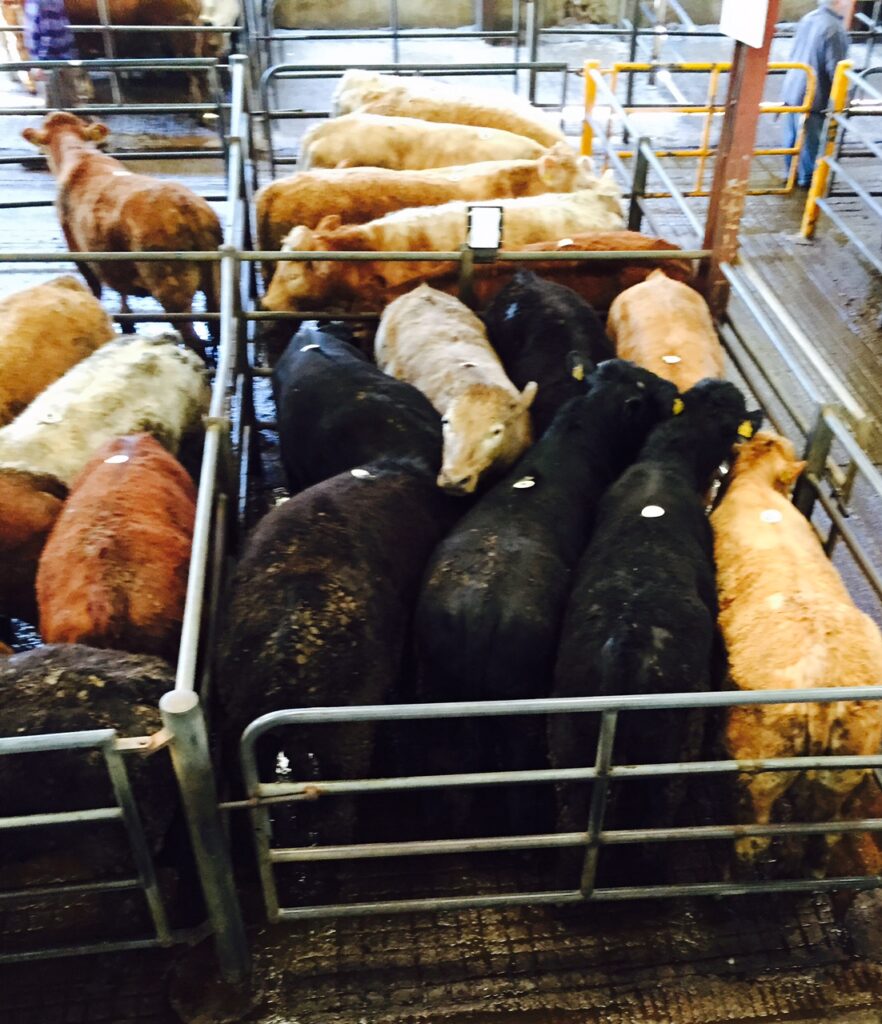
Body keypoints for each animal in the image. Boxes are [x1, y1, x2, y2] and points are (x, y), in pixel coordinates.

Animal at [22, 112, 222, 357]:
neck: (79, 156)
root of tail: (188, 207)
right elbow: (122, 291)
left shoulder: (77, 251)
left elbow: (95, 287)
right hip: (214, 281)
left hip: (172, 287)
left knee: (193, 338)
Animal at [711, 431, 882, 877]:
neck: (757, 486)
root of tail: (824, 696)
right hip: (846, 769)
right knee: (829, 829)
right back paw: (815, 869)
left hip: (762, 765)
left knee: (754, 837)